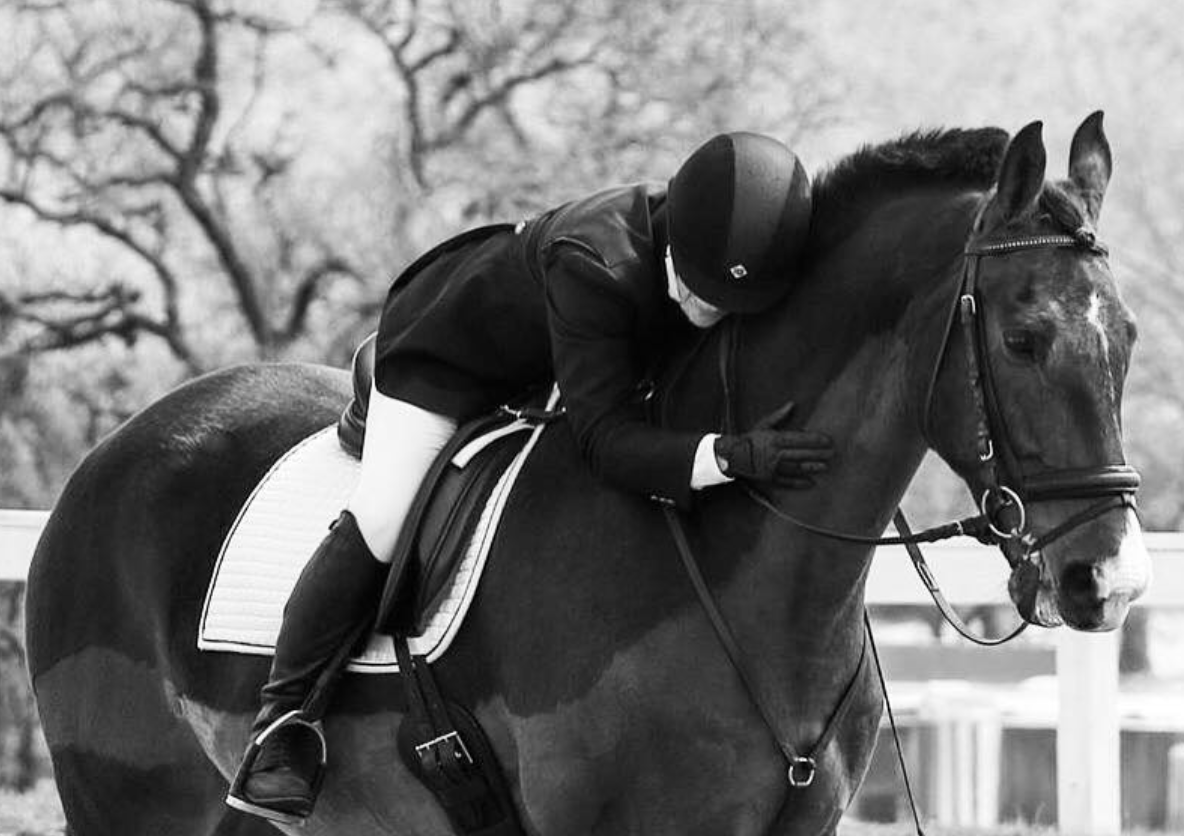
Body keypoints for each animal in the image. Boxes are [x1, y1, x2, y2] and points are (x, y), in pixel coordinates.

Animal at [25, 112, 1149, 836]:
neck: (744, 582)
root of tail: (110, 456)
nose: (1109, 582)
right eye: (1023, 339)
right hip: (135, 799)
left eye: (1127, 338)